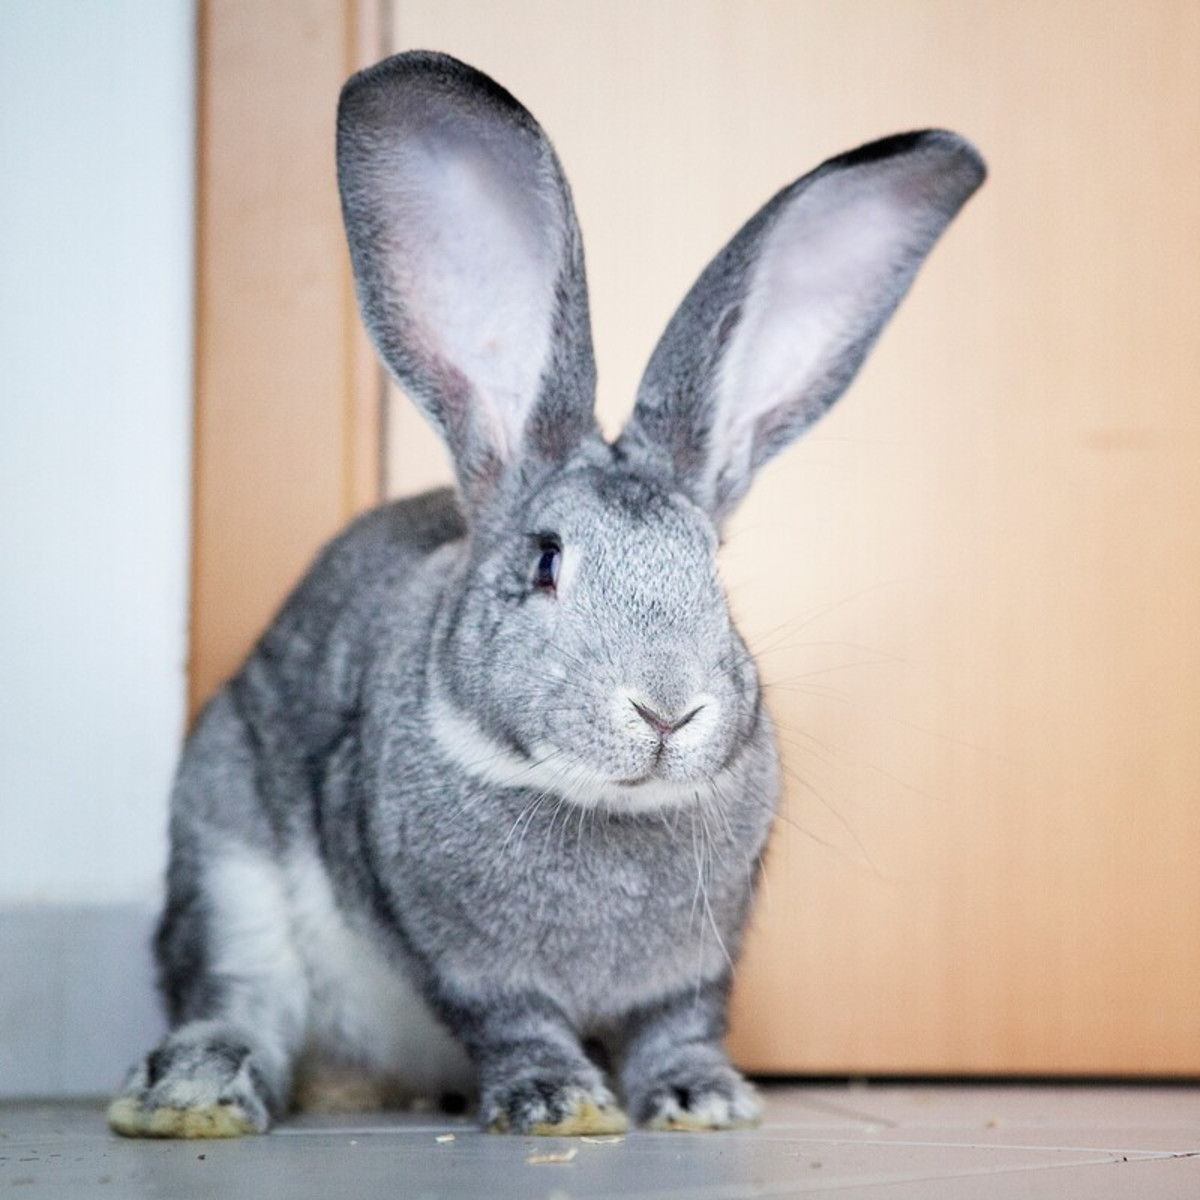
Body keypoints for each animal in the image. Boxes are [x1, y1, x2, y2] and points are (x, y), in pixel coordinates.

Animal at [107, 49, 984, 1139]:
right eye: (546, 564)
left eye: (712, 571)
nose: (668, 709)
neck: (599, 803)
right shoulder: (466, 963)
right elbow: (515, 1024)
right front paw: (561, 1107)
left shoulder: (696, 967)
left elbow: (678, 1027)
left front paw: (705, 1102)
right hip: (226, 857)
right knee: (237, 998)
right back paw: (194, 1094)